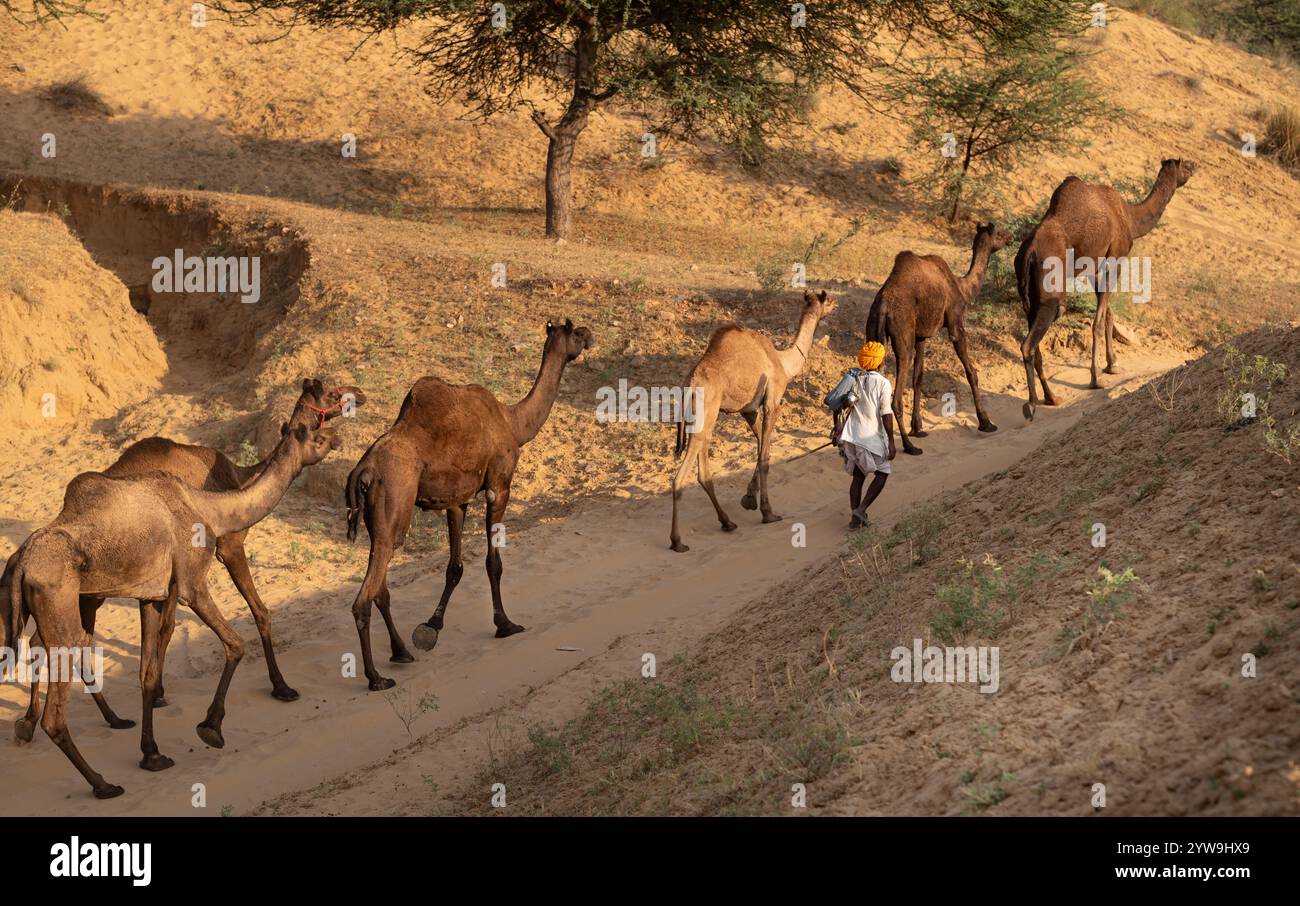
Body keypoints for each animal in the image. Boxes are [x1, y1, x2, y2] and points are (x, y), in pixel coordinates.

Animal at [4, 380, 361, 740]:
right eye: (330, 394)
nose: (356, 397)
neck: (223, 495)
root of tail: (19, 560)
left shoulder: (160, 585)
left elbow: (159, 641)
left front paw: (159, 700)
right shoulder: (219, 555)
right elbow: (254, 615)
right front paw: (277, 690)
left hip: (83, 595)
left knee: (50, 642)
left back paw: (62, 720)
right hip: (82, 595)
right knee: (61, 644)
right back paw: (50, 720)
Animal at [343, 318, 593, 691]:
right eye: (575, 332)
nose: (590, 336)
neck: (513, 422)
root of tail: (364, 470)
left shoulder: (456, 499)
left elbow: (455, 566)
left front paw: (431, 627)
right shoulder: (499, 485)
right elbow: (493, 562)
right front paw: (505, 624)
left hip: (379, 522)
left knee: (379, 585)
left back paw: (402, 651)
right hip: (395, 507)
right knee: (365, 596)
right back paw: (376, 678)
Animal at [669, 290, 837, 553]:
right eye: (826, 300)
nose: (836, 303)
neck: (783, 362)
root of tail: (689, 386)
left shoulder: (748, 411)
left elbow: (760, 447)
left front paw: (749, 498)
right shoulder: (772, 401)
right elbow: (765, 457)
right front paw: (768, 512)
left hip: (706, 419)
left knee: (703, 472)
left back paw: (727, 522)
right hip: (705, 415)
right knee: (679, 478)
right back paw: (677, 541)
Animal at [865, 222, 1011, 455]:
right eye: (998, 232)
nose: (1011, 237)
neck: (962, 287)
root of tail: (883, 306)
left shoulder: (920, 336)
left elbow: (918, 378)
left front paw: (918, 428)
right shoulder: (955, 322)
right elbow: (971, 372)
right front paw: (986, 422)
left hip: (873, 331)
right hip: (901, 334)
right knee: (895, 395)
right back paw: (908, 446)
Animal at [1015, 158, 1197, 420]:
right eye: (1186, 165)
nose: (1196, 165)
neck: (1130, 218)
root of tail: (1029, 252)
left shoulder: (1096, 268)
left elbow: (1109, 314)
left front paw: (1113, 364)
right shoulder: (1114, 260)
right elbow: (1099, 322)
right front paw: (1096, 378)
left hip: (1028, 296)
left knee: (1033, 339)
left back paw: (1052, 397)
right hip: (1050, 295)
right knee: (1029, 344)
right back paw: (1030, 405)